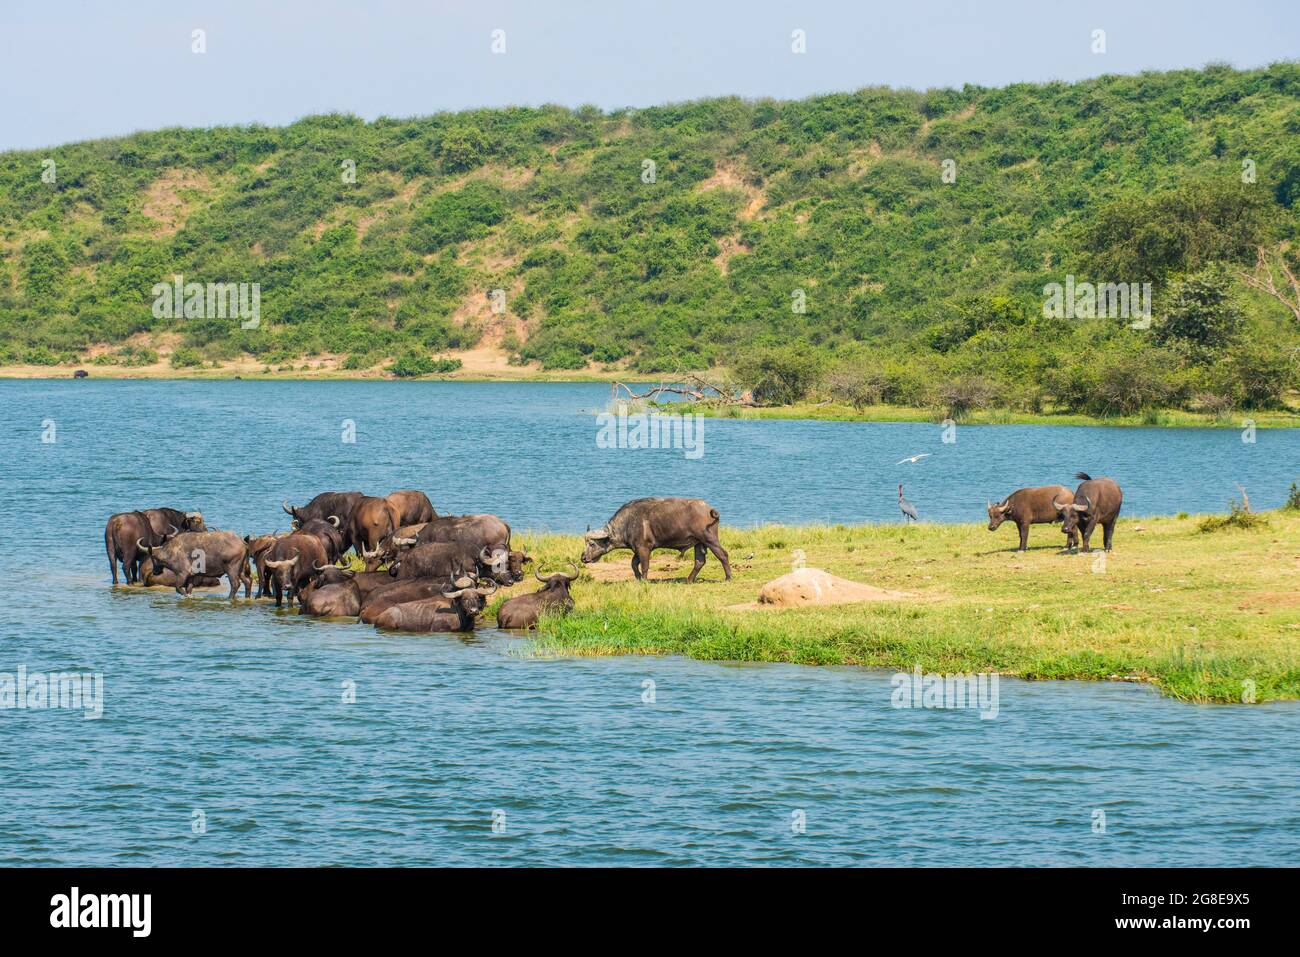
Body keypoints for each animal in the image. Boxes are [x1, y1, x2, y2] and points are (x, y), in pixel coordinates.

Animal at [582, 497, 732, 582]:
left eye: (592, 543)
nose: (583, 558)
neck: (627, 523)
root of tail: (709, 509)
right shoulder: (637, 549)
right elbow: (633, 564)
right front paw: (638, 578)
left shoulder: (644, 549)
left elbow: (644, 565)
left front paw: (644, 580)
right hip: (699, 543)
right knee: (700, 561)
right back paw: (689, 580)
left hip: (709, 539)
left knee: (723, 555)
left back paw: (728, 577)